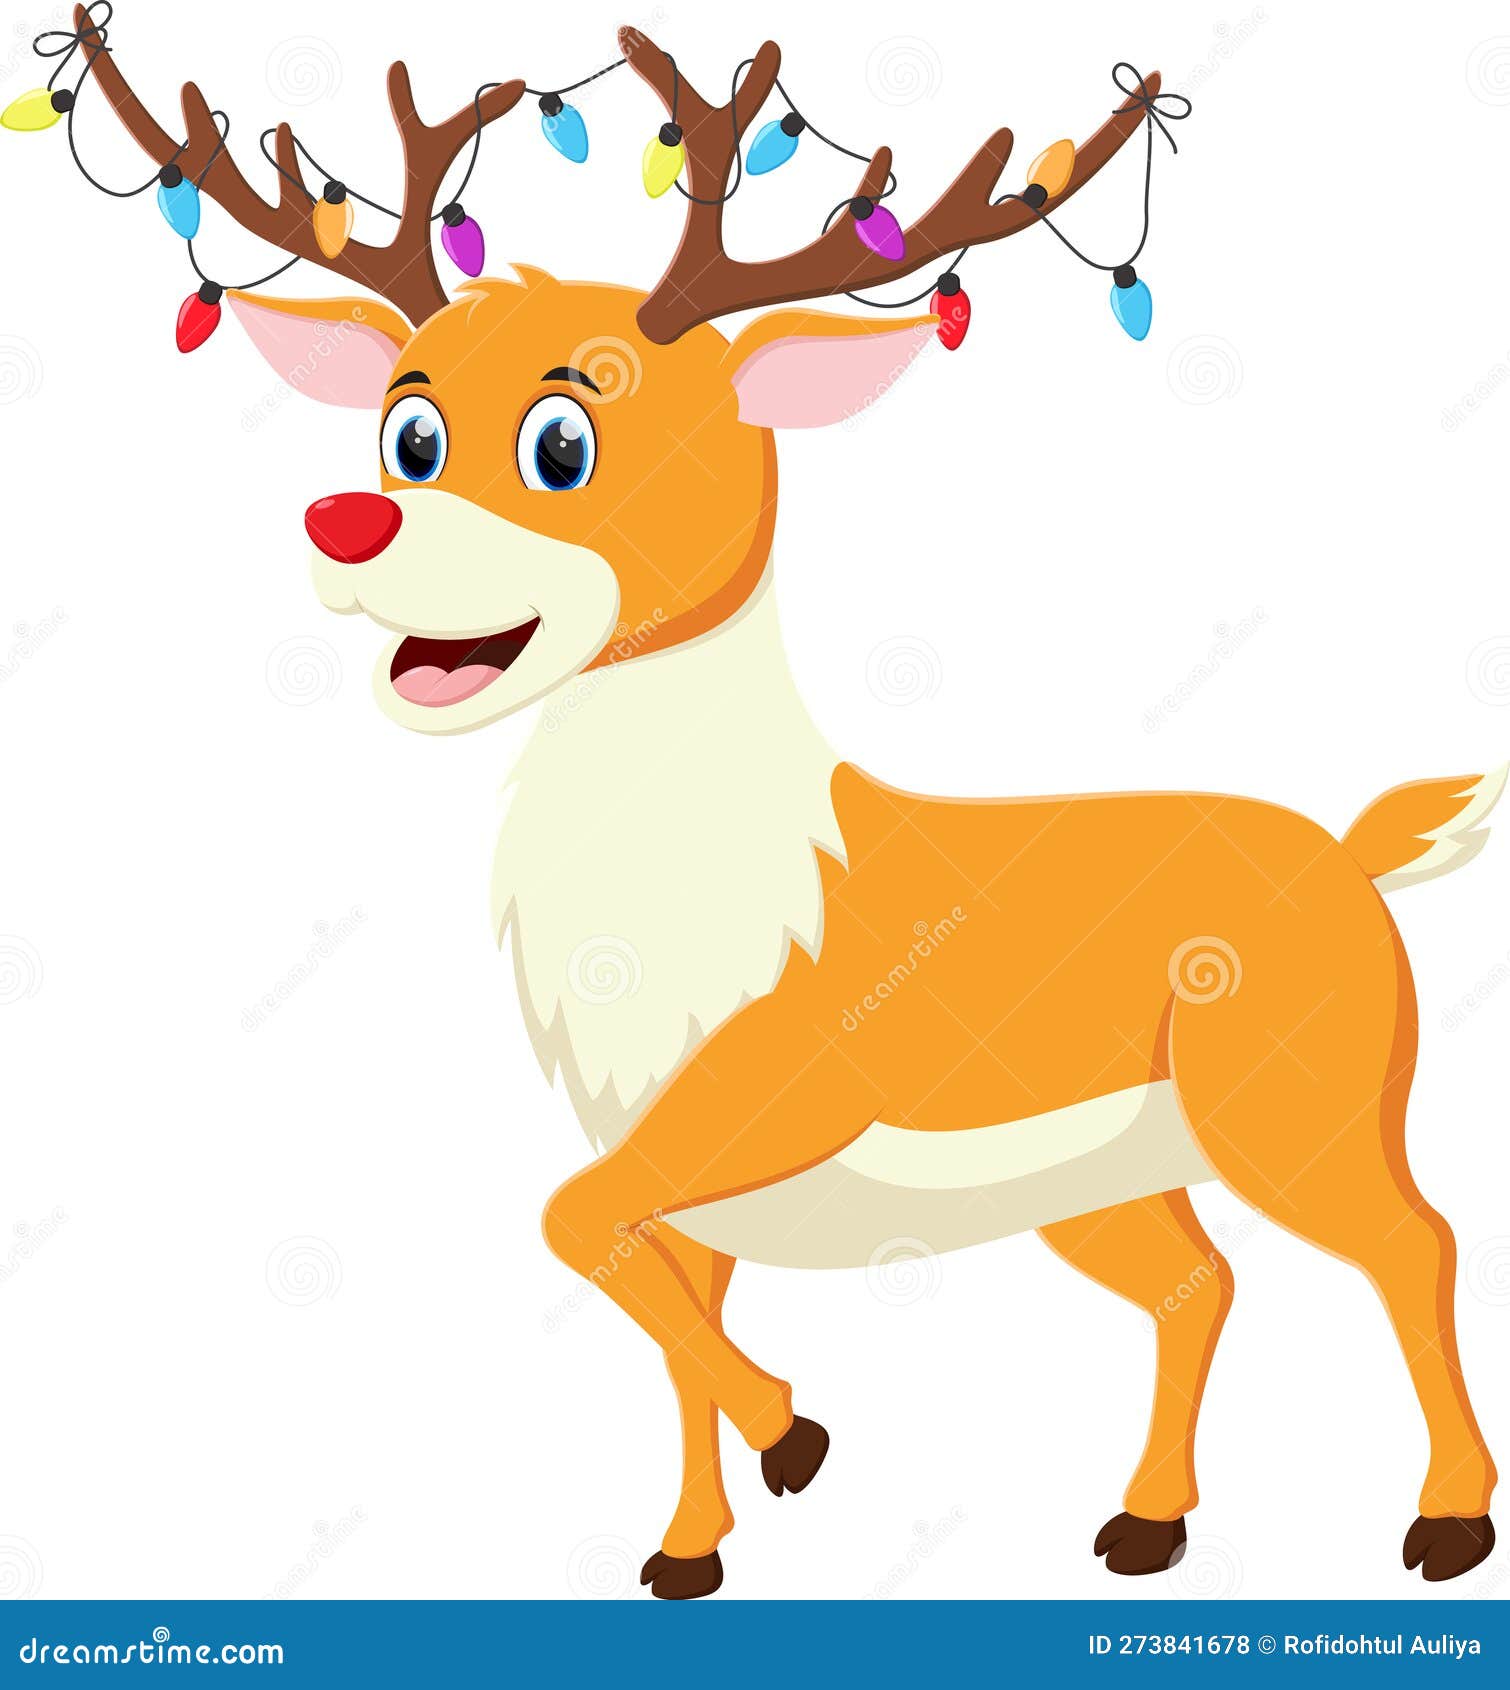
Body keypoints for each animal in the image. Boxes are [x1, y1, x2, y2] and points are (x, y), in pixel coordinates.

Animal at [54, 5, 1501, 1598]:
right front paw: (691, 1546)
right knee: (1197, 1280)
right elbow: (654, 1306)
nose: (347, 522)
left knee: (1414, 1243)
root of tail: (1352, 856)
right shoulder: (675, 1183)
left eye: (565, 443)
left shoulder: (773, 1090)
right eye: (405, 432)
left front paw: (798, 1437)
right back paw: (1143, 1525)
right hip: (1105, 1179)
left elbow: (566, 1218)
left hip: (1298, 1112)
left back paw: (1444, 1523)